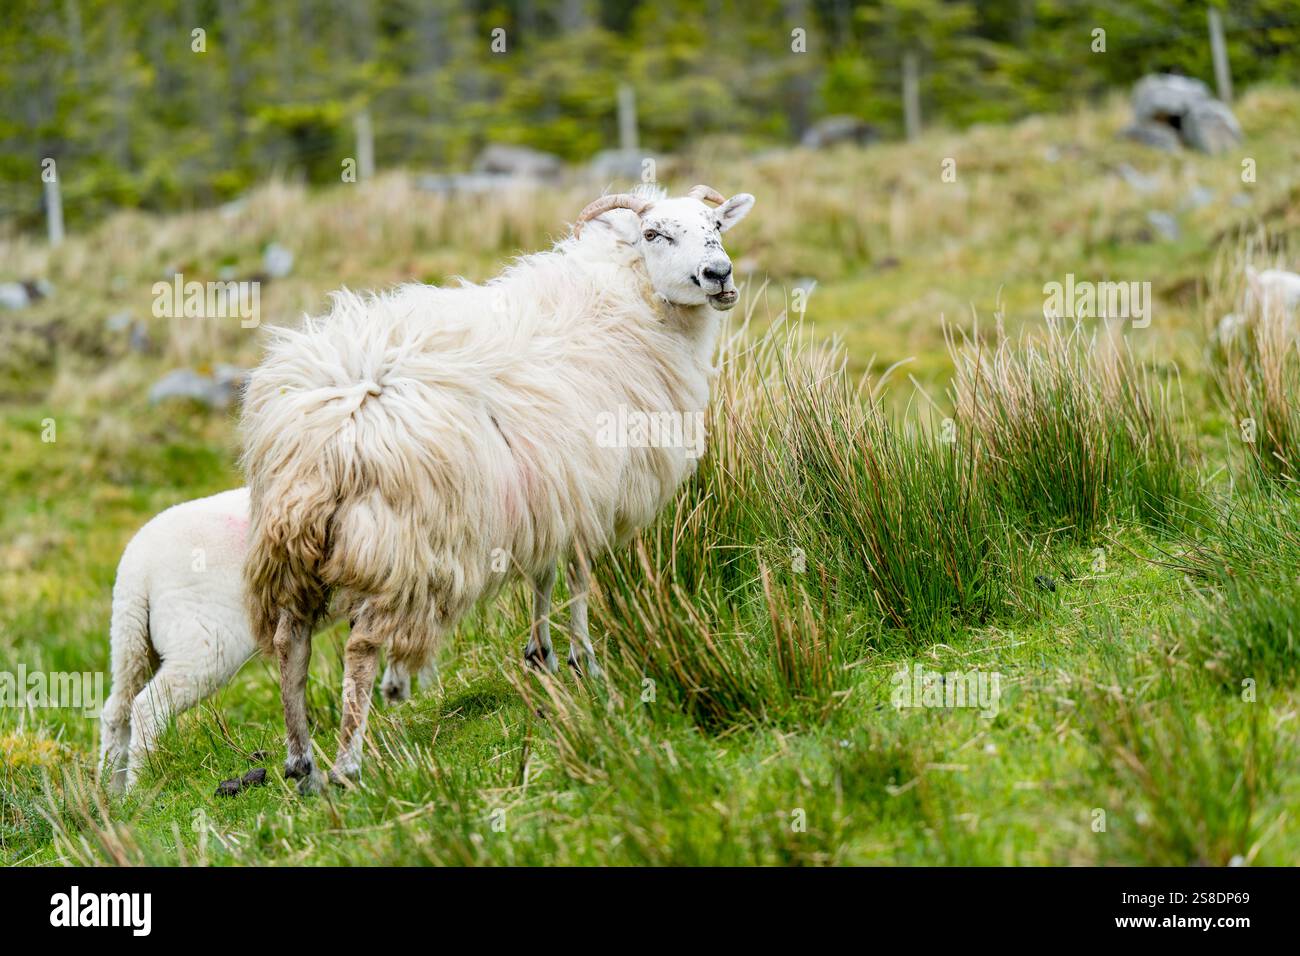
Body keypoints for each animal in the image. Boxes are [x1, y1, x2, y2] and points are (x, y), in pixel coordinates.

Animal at [98, 488, 433, 791]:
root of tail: (135, 571)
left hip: (131, 643)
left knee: (117, 711)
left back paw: (113, 793)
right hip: (203, 642)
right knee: (148, 707)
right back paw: (142, 784)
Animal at [240, 183, 755, 791]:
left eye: (716, 227)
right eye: (654, 234)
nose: (718, 274)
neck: (627, 300)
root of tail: (323, 434)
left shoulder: (550, 490)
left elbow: (544, 574)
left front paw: (542, 652)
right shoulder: (591, 491)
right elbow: (579, 579)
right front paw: (583, 659)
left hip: (295, 549)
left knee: (289, 644)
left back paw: (302, 763)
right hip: (405, 544)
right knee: (360, 647)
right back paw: (348, 765)